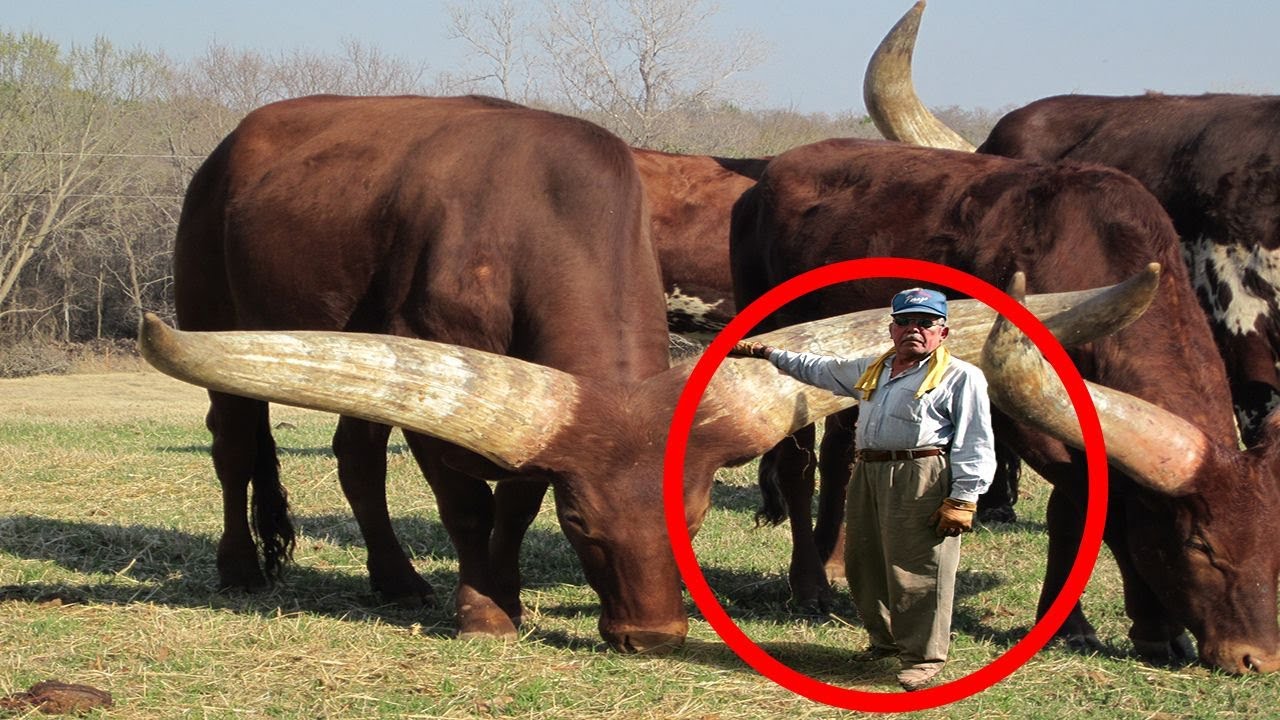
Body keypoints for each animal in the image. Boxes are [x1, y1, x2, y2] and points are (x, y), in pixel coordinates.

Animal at [729, 136, 1280, 674]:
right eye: (1200, 545)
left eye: (1273, 547)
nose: (1256, 657)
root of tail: (765, 180)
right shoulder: (1015, 419)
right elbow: (1091, 505)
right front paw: (1145, 626)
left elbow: (1071, 509)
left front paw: (1083, 624)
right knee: (799, 468)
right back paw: (810, 584)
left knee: (843, 455)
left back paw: (834, 559)